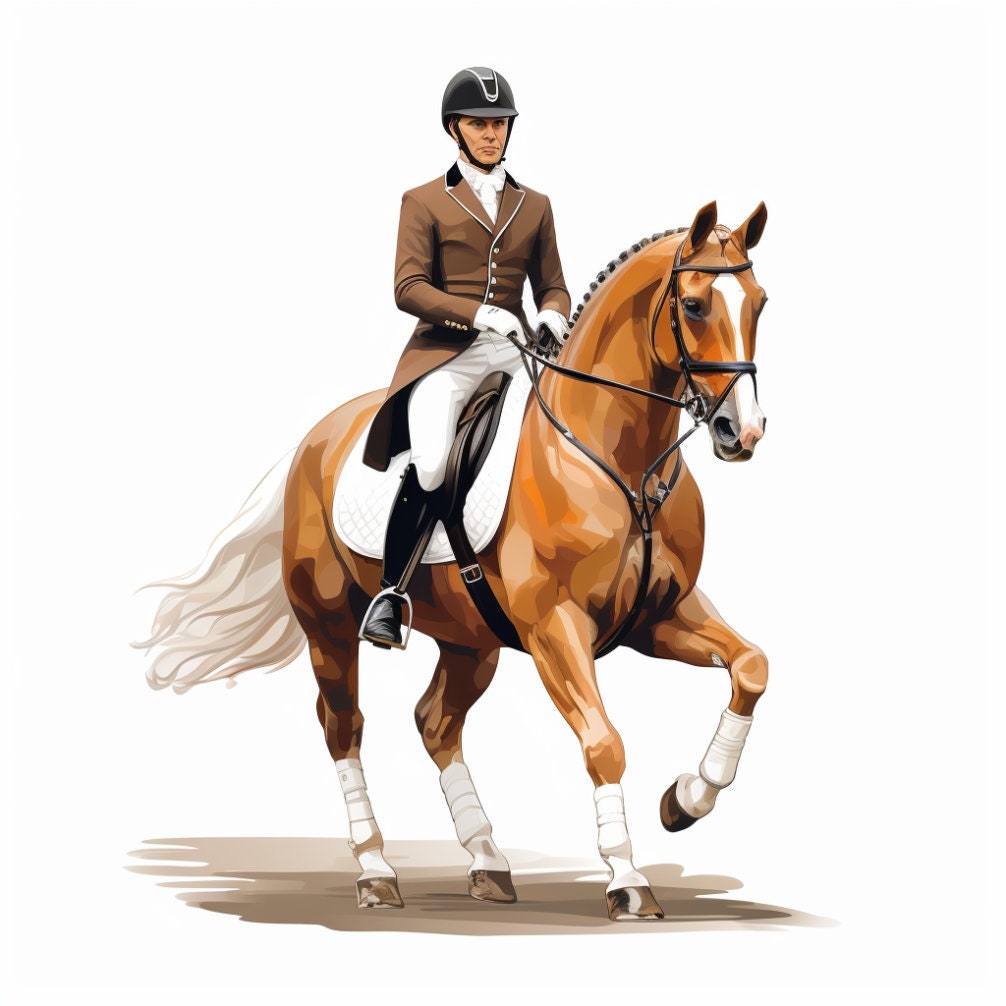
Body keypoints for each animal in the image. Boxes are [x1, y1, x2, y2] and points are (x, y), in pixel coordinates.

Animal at [138, 199, 770, 922]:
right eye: (693, 305)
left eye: (760, 302)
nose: (743, 432)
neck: (620, 464)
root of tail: (317, 438)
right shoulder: (557, 629)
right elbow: (604, 742)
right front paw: (627, 878)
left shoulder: (660, 616)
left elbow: (752, 667)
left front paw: (688, 798)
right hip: (330, 626)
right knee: (344, 726)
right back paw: (375, 870)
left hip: (473, 641)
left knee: (435, 721)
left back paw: (487, 858)